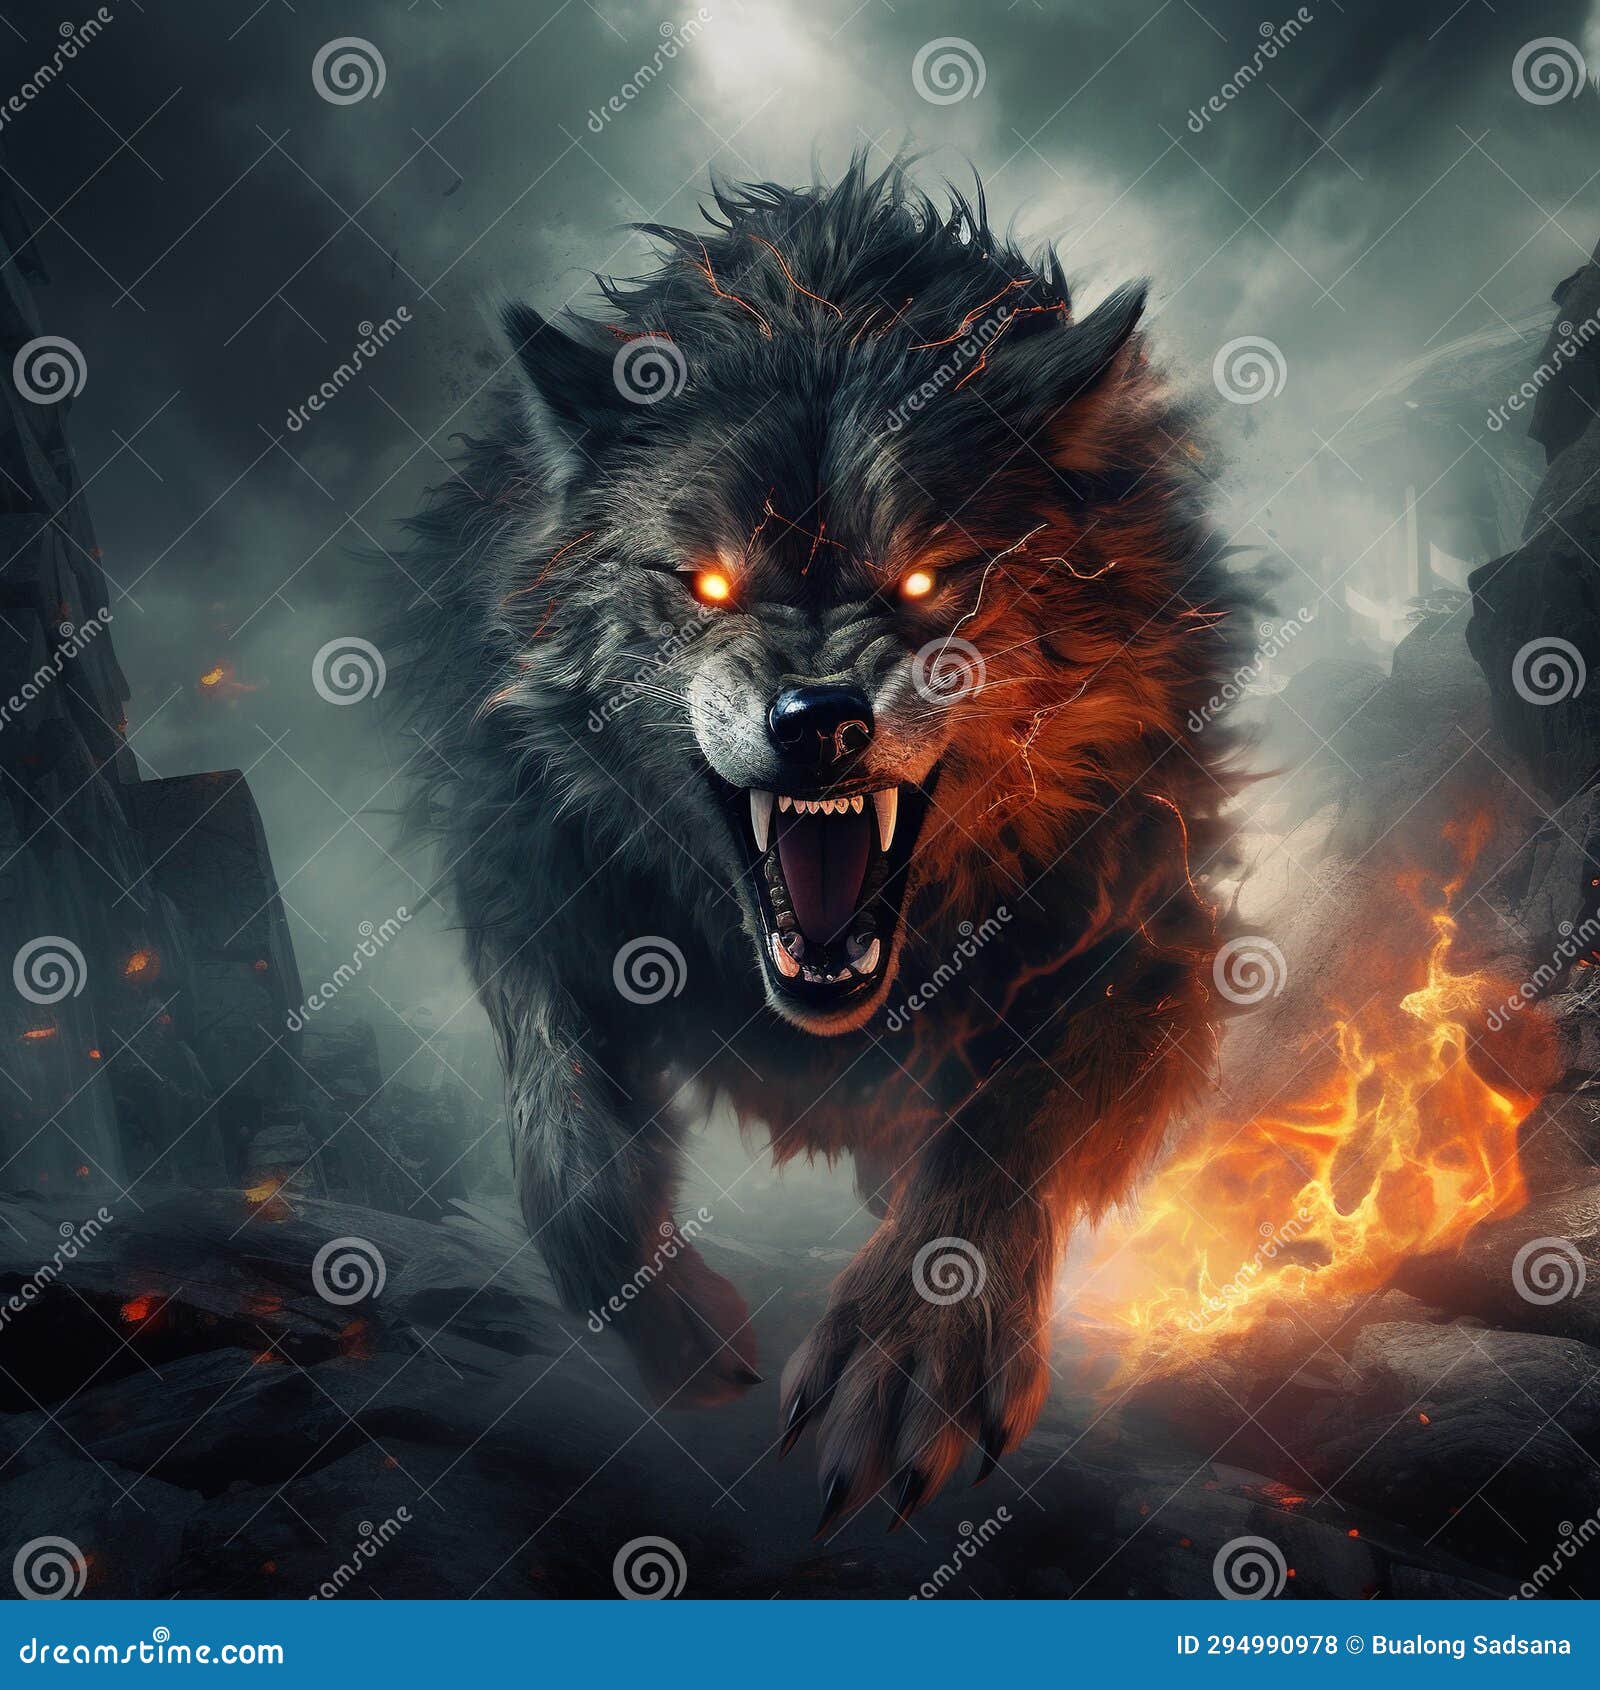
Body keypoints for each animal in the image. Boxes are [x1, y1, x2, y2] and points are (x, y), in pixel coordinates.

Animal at [394, 159, 1252, 1530]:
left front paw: (907, 1348)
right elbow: (563, 1149)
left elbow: (996, 1127)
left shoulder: (1145, 933)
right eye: (704, 584)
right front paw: (668, 1328)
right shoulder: (526, 870)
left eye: (926, 579)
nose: (819, 719)